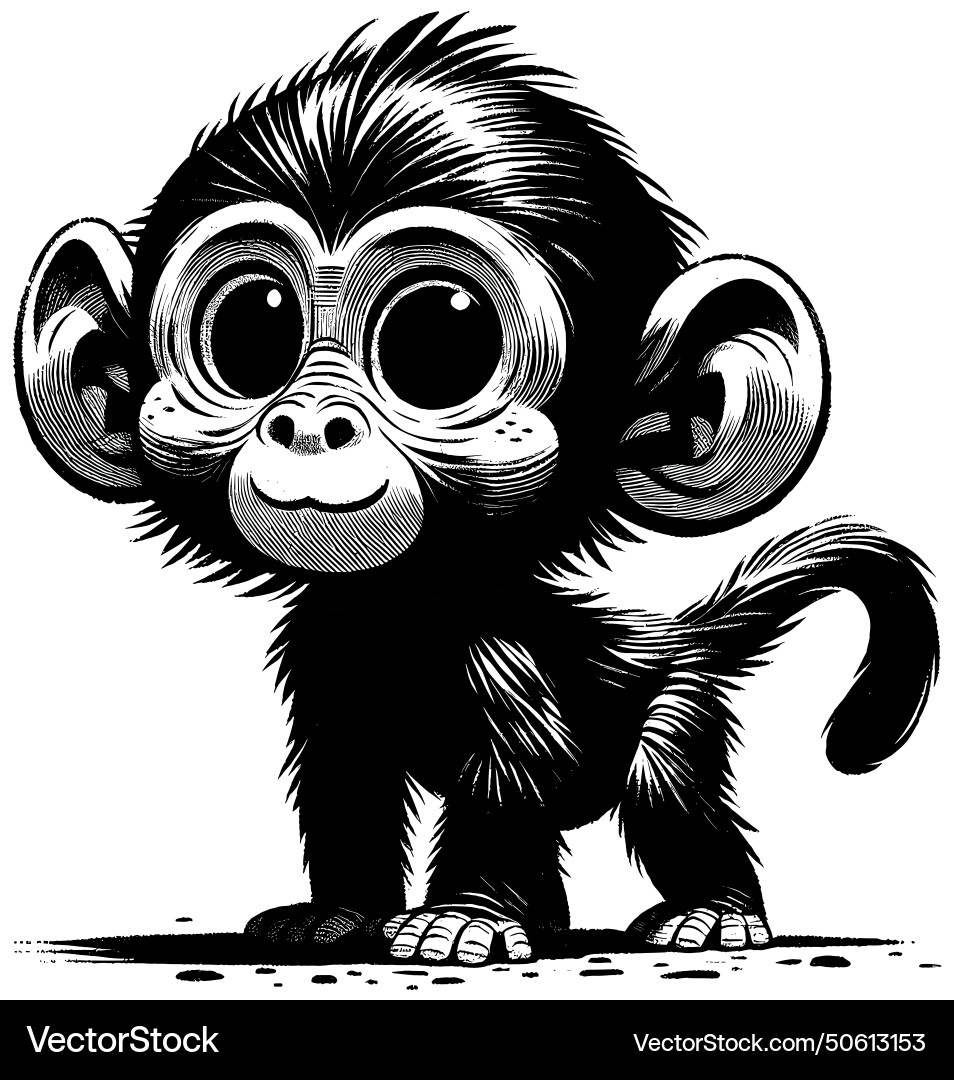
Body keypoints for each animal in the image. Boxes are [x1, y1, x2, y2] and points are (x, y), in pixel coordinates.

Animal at [15, 15, 938, 965]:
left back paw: (713, 906)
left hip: (673, 706)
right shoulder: (323, 649)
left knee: (665, 783)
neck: (408, 606)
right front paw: (338, 912)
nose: (310, 423)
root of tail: (664, 637)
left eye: (438, 339)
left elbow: (513, 778)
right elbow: (349, 777)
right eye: (253, 329)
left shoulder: (504, 656)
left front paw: (463, 916)